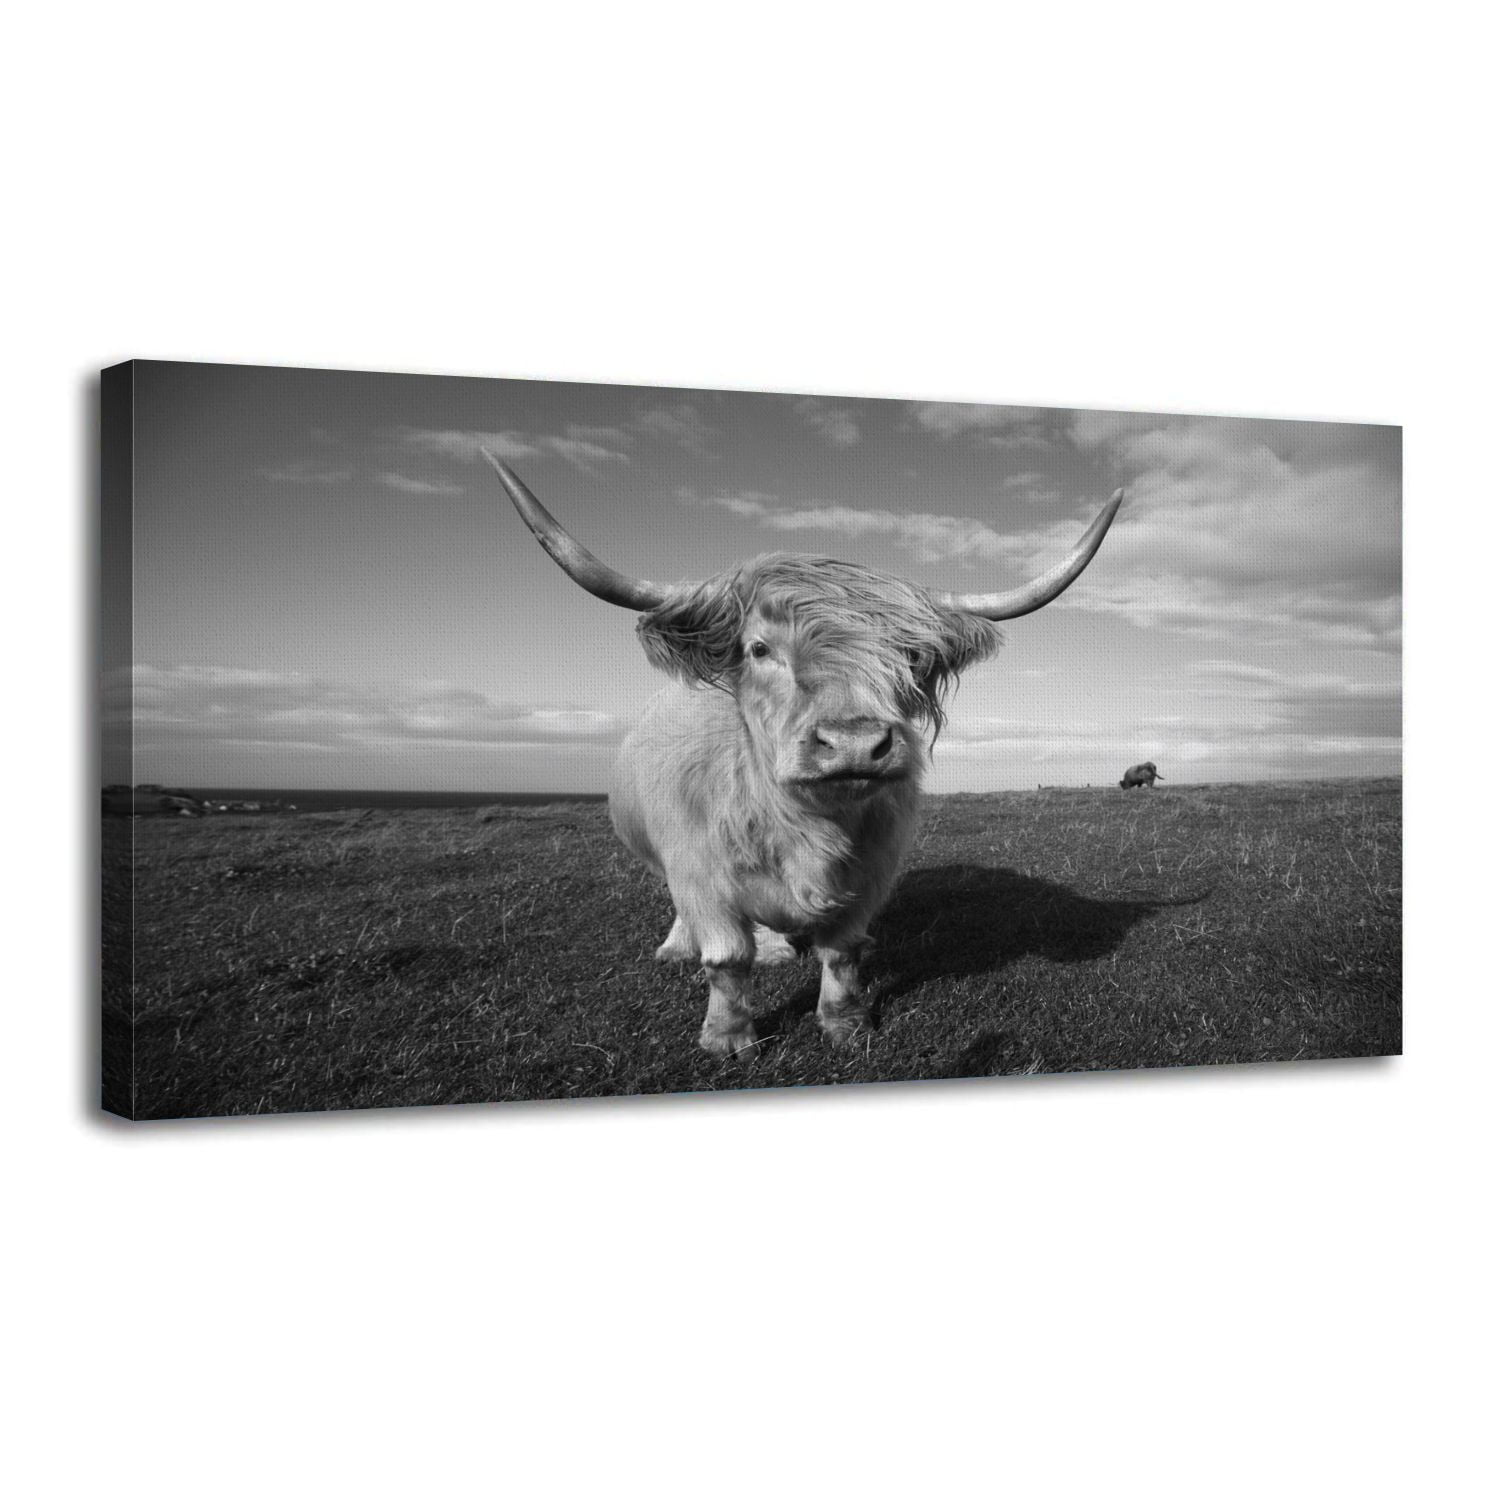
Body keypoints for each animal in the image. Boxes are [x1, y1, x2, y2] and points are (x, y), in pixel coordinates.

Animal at [486, 453, 1123, 1057]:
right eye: (759, 648)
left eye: (911, 658)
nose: (856, 743)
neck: (805, 825)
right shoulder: (697, 871)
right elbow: (725, 958)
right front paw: (729, 1039)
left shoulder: (873, 872)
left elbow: (842, 954)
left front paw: (846, 1025)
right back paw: (697, 948)